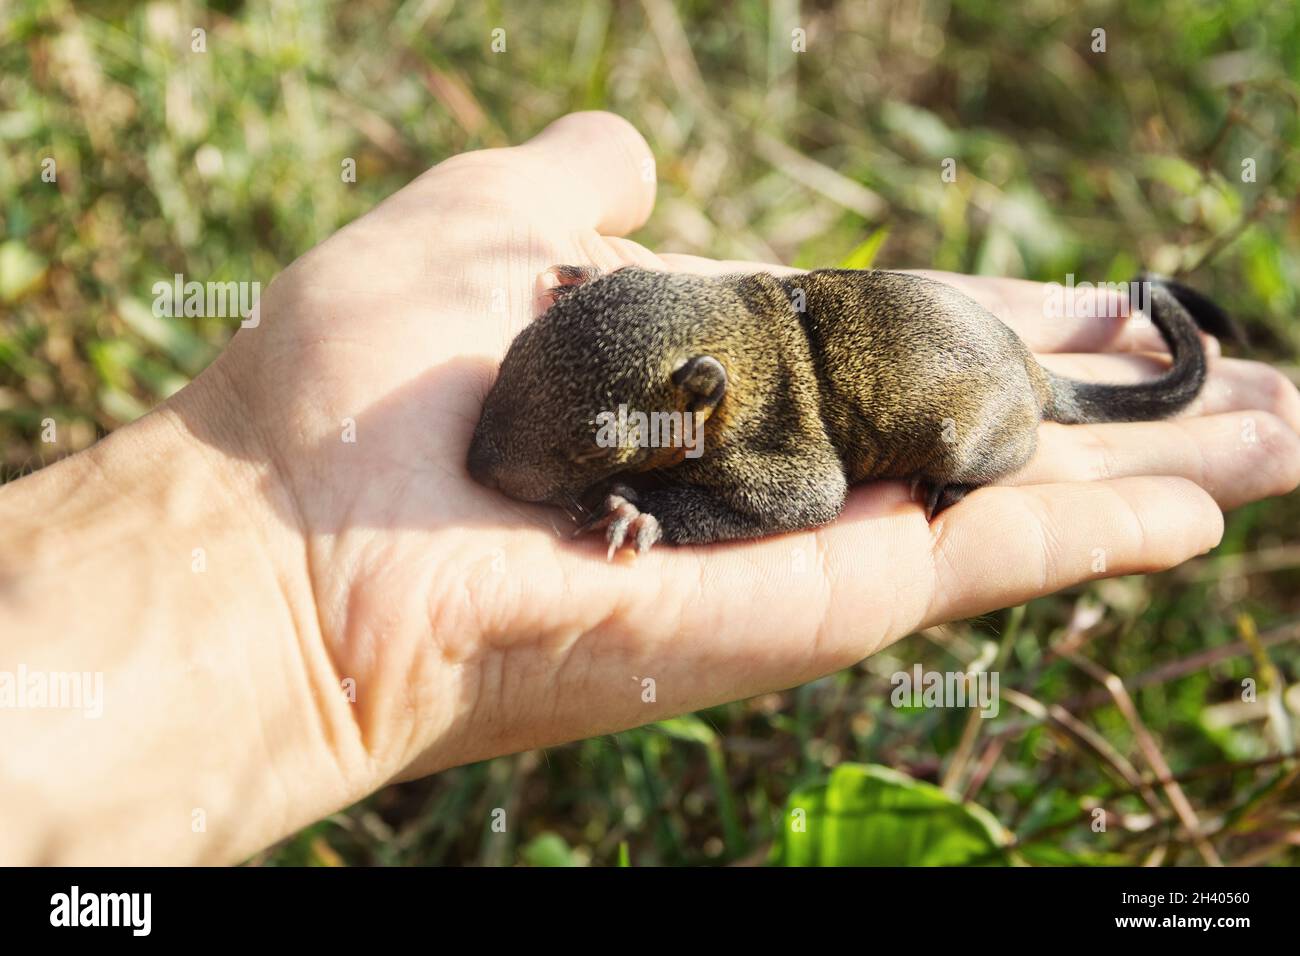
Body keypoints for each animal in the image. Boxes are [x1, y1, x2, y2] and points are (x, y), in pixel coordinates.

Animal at [467, 265, 1235, 557]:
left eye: (594, 446)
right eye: (510, 356)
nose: (474, 468)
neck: (747, 340)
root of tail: (1032, 371)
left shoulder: (778, 448)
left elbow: (808, 498)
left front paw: (636, 509)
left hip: (975, 439)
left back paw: (952, 485)